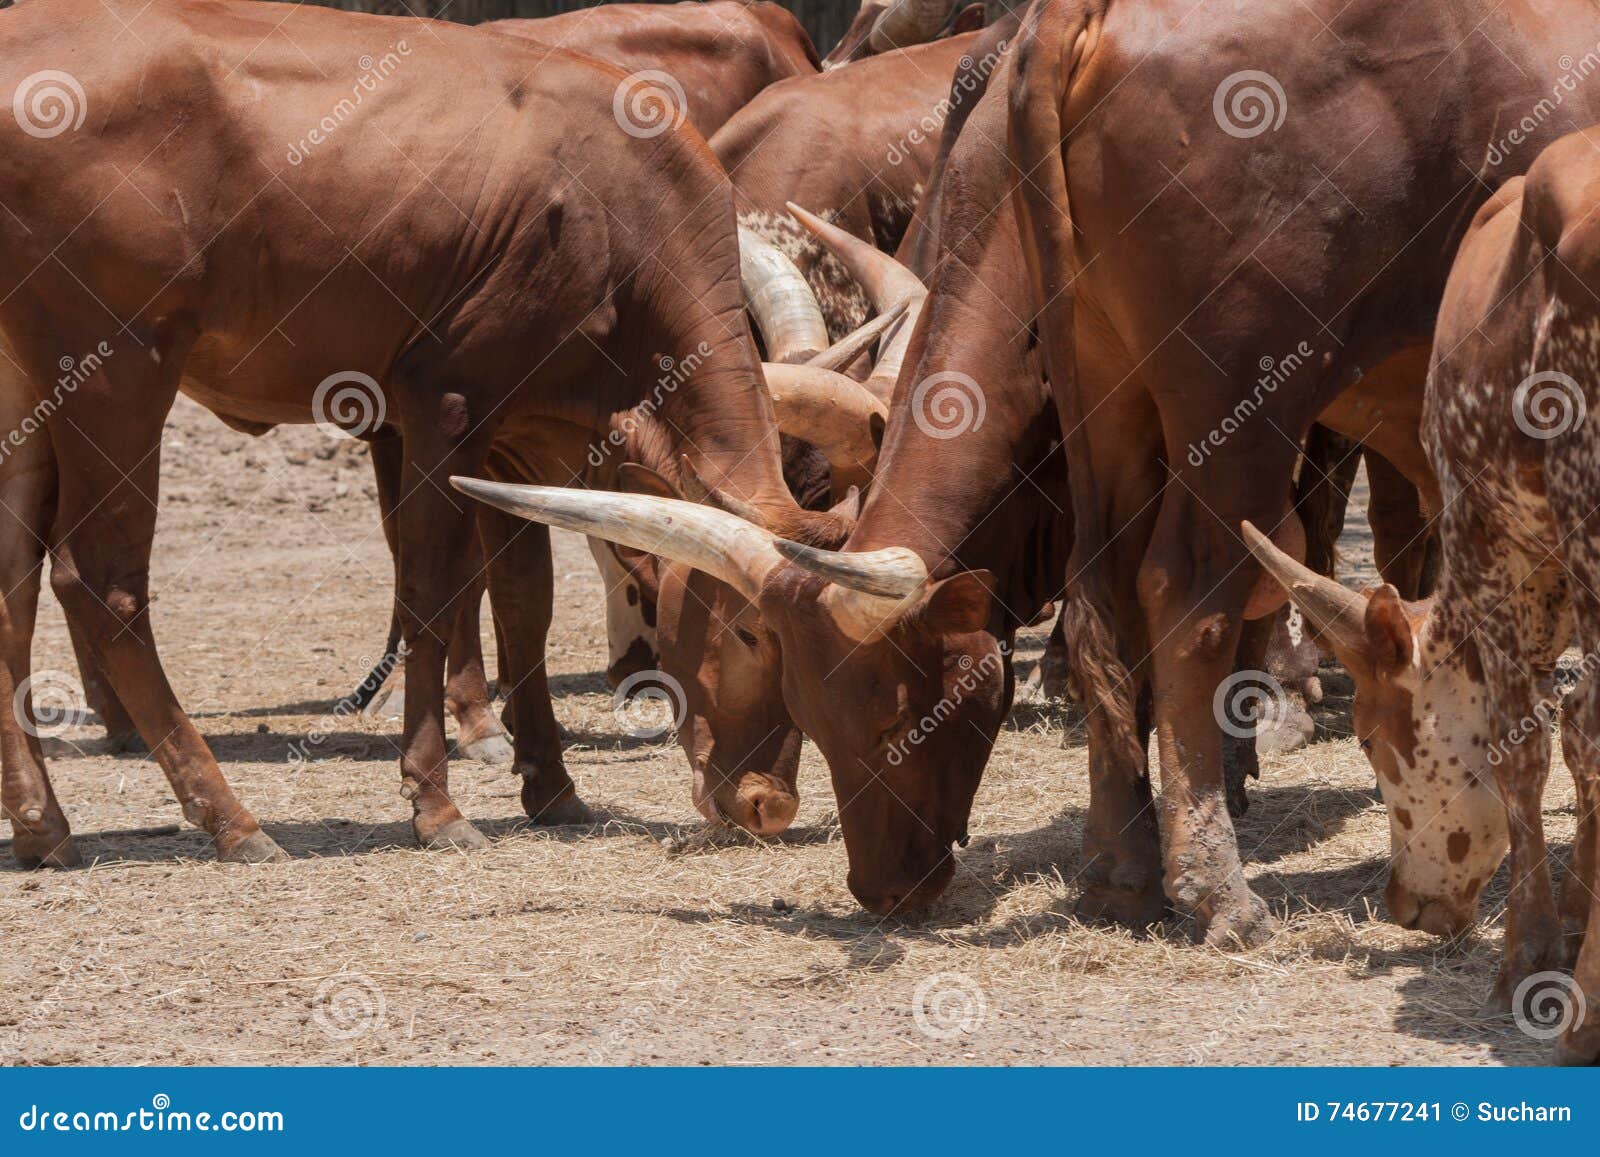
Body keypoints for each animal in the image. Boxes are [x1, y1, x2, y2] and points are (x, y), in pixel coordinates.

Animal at [0, 0, 862, 866]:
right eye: (752, 633)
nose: (766, 802)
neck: (616, 197)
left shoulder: (514, 437)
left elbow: (524, 599)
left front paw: (551, 784)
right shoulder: (443, 407)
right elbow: (432, 591)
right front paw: (437, 800)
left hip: (30, 397)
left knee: (15, 584)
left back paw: (43, 822)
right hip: (117, 375)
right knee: (99, 582)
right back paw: (230, 816)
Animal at [1006, 0, 1600, 946]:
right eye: (1370, 742)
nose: (1409, 904)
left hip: (1106, 393)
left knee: (1103, 596)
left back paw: (1122, 869)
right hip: (1240, 408)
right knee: (1182, 595)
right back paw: (1215, 883)